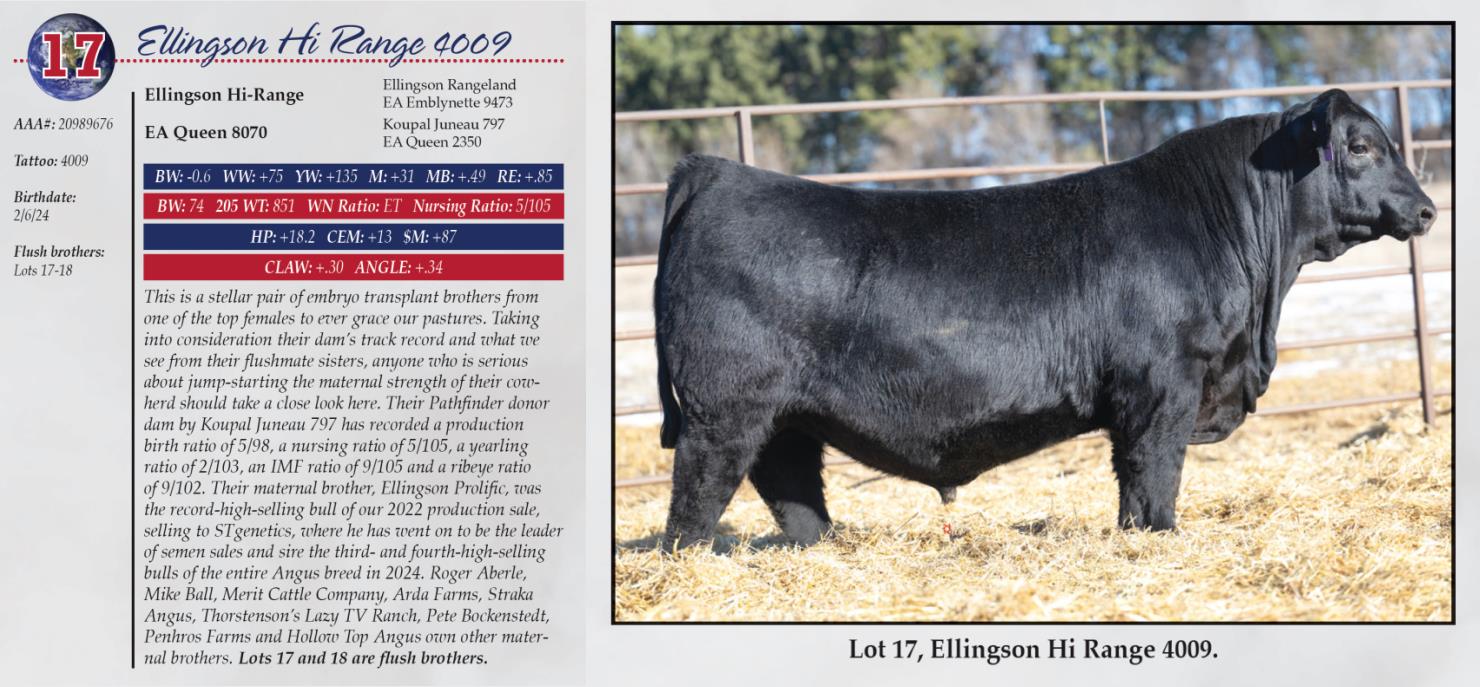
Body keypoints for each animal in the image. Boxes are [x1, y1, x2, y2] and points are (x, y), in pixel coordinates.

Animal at [651, 88, 1437, 549]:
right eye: (1361, 145)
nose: (1428, 209)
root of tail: (715, 172)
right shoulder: (1164, 382)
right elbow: (1153, 472)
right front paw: (1158, 539)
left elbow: (1135, 479)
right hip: (723, 408)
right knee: (696, 500)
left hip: (784, 416)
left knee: (792, 490)